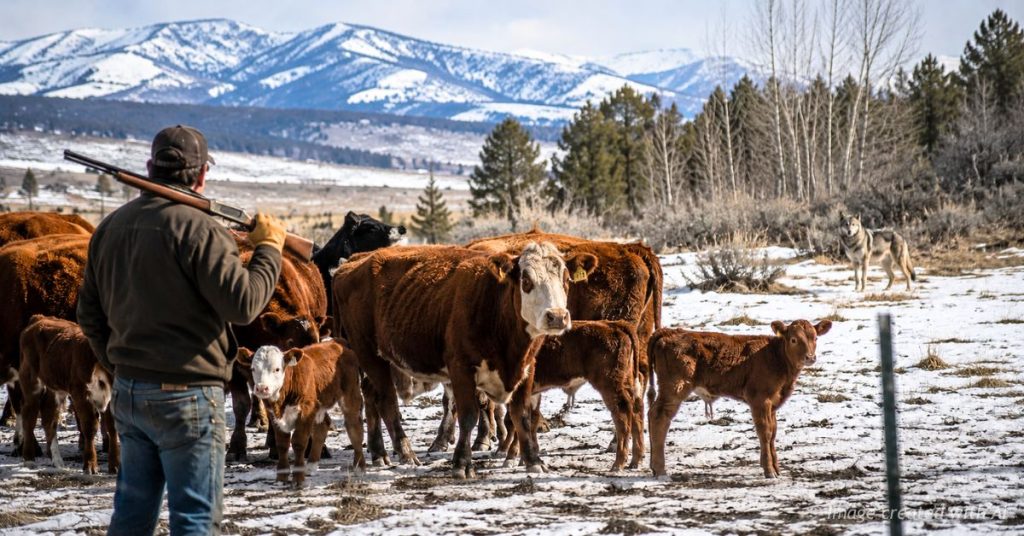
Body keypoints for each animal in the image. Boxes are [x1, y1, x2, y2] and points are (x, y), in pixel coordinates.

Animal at [18, 315, 118, 474]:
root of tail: (39, 318)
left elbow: (113, 428)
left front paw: (115, 465)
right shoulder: (80, 393)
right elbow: (89, 427)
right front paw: (90, 465)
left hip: (54, 388)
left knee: (49, 419)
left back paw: (57, 461)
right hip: (31, 381)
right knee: (29, 415)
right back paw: (29, 459)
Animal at [236, 339, 364, 488]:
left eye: (277, 369)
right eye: (253, 369)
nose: (262, 388)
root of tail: (336, 342)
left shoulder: (305, 411)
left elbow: (298, 442)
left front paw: (298, 478)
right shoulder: (274, 415)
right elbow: (282, 444)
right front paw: (281, 477)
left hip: (350, 395)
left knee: (354, 427)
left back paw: (359, 467)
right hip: (318, 405)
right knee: (322, 426)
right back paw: (311, 466)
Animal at [333, 242, 597, 478]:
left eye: (566, 279)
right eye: (526, 281)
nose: (557, 317)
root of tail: (353, 263)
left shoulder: (527, 367)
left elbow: (521, 414)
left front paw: (533, 461)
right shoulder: (460, 368)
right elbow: (469, 415)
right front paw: (462, 463)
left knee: (371, 396)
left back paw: (379, 453)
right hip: (367, 352)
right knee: (386, 401)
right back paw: (405, 454)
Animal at [498, 320, 645, 471]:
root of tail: (614, 325)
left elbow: (516, 421)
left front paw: (511, 458)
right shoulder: (533, 393)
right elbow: (531, 421)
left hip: (609, 384)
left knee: (622, 413)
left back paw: (618, 464)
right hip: (628, 380)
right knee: (637, 410)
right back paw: (636, 461)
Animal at [647, 320, 833, 478]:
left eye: (815, 338)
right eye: (793, 340)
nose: (810, 357)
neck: (777, 358)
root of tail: (670, 332)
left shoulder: (772, 403)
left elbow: (773, 433)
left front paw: (776, 468)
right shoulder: (760, 400)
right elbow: (765, 432)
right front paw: (769, 470)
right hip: (675, 387)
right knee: (659, 416)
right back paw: (660, 469)